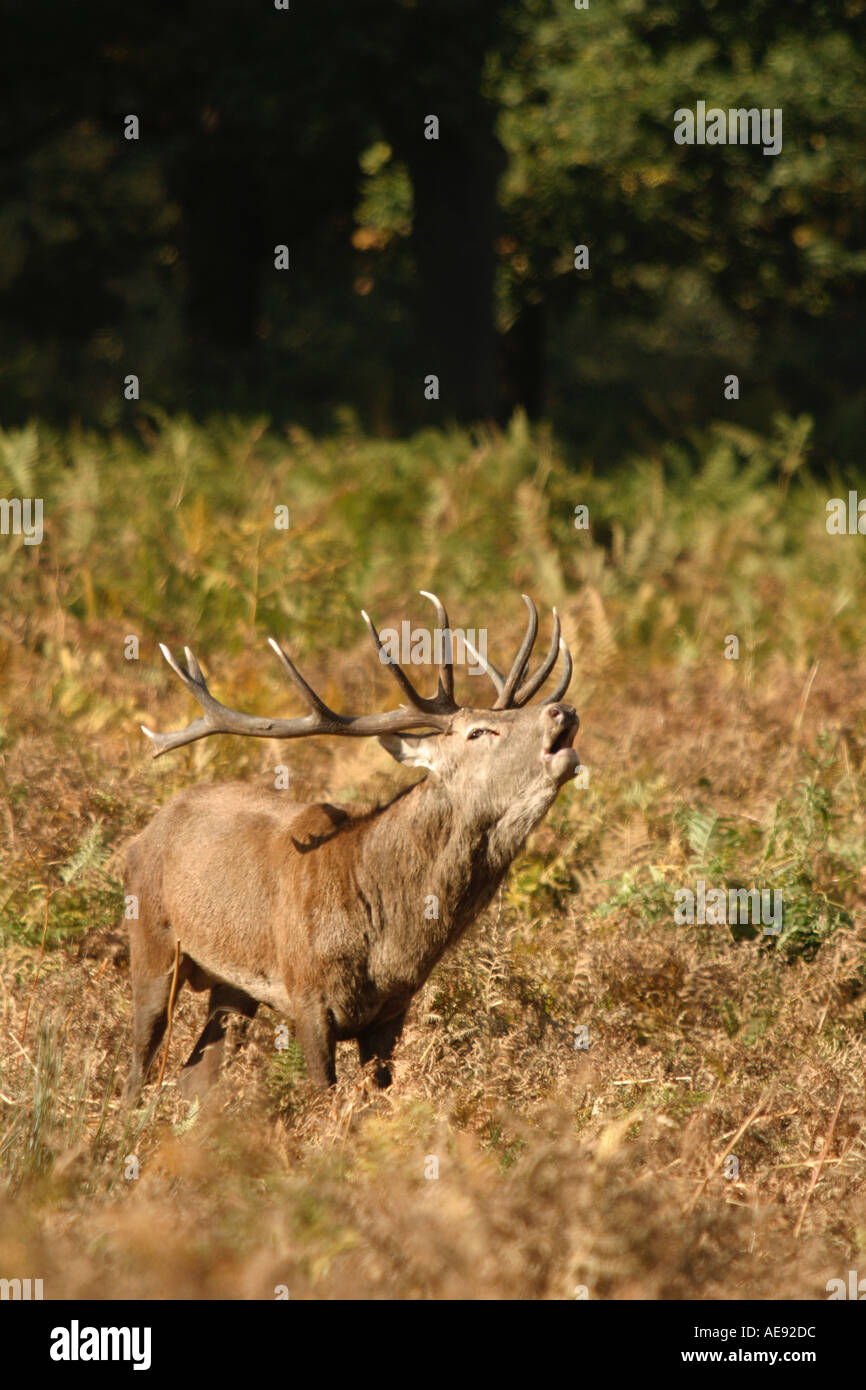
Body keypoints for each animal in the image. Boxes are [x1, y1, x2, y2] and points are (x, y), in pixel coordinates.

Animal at [122, 592, 580, 1101]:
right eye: (479, 731)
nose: (562, 710)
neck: (387, 935)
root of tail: (144, 831)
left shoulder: (392, 1012)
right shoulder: (307, 994)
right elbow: (324, 1095)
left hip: (231, 985)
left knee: (195, 1077)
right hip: (152, 940)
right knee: (138, 1063)